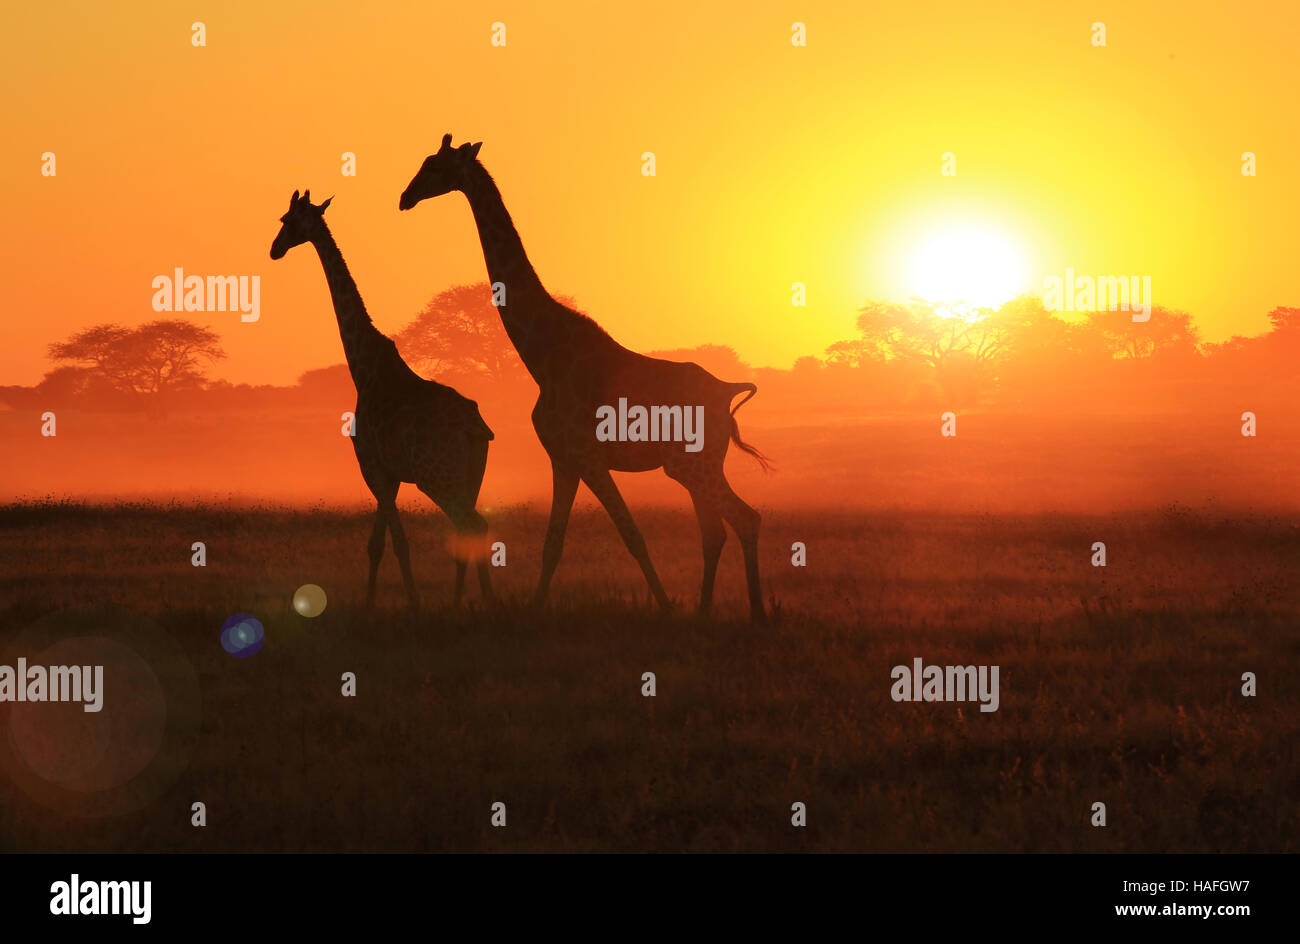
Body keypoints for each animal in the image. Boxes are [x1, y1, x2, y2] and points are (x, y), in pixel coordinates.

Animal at [270, 189, 494, 609]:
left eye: (287, 220)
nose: (274, 249)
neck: (365, 368)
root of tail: (475, 428)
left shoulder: (372, 466)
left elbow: (397, 543)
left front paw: (413, 604)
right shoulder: (386, 473)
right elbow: (375, 544)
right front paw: (371, 603)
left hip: (436, 476)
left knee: (473, 524)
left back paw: (487, 605)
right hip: (472, 473)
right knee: (469, 530)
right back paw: (464, 604)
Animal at [399, 137, 768, 622]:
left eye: (436, 167)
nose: (405, 198)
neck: (543, 356)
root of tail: (727, 393)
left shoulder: (590, 458)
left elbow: (631, 535)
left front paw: (666, 607)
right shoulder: (563, 459)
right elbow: (553, 543)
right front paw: (535, 609)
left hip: (695, 464)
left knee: (743, 519)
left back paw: (756, 614)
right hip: (692, 466)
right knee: (718, 530)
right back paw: (707, 612)